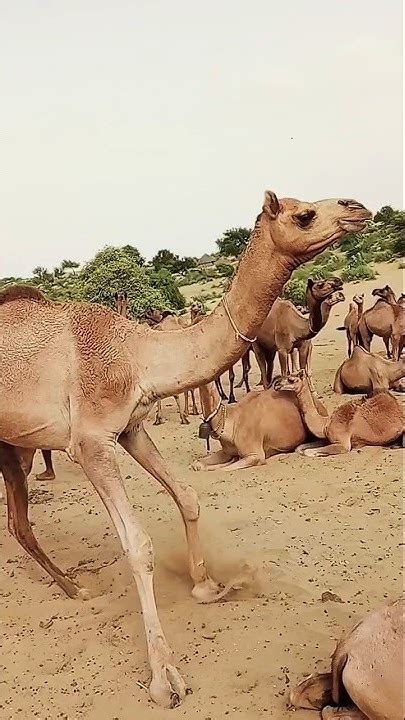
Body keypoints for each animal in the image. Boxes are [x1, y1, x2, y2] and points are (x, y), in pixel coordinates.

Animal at [0, 192, 371, 708]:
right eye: (304, 215)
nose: (358, 208)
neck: (138, 356)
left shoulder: (131, 429)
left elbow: (187, 496)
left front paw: (207, 585)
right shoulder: (90, 442)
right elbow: (138, 545)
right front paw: (165, 677)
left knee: (18, 523)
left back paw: (74, 588)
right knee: (20, 521)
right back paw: (76, 590)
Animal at [273, 370, 403, 456]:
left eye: (291, 380)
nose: (276, 384)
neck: (325, 423)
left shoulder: (343, 443)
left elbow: (307, 452)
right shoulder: (326, 439)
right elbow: (299, 448)